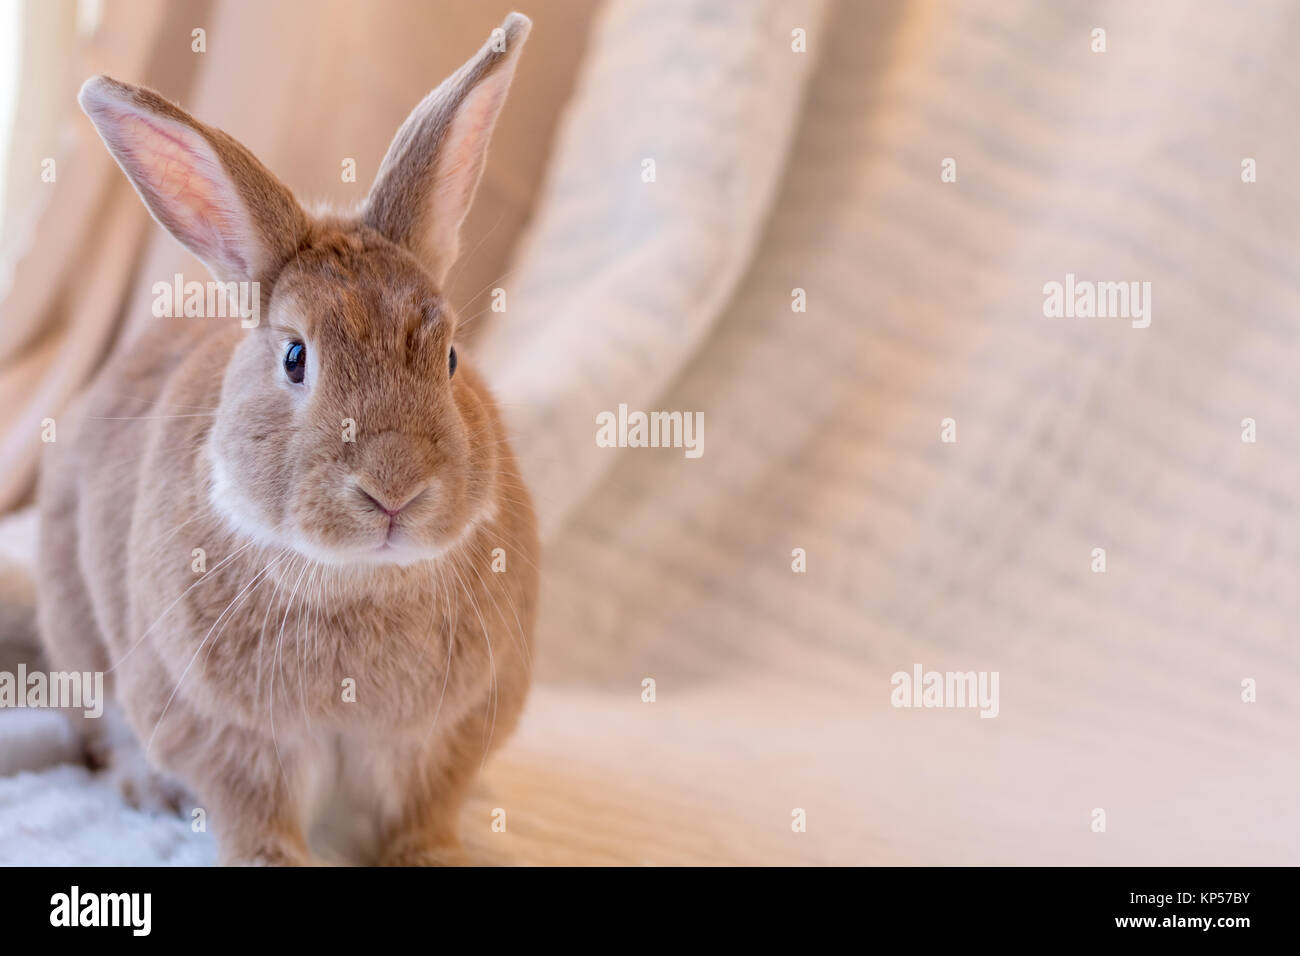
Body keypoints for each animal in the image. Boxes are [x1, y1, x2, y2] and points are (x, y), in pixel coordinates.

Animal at [35, 13, 538, 865]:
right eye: (295, 357)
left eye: (450, 358)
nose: (394, 488)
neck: (357, 578)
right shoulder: (231, 738)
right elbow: (254, 818)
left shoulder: (439, 739)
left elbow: (424, 812)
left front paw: (436, 856)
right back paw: (148, 793)